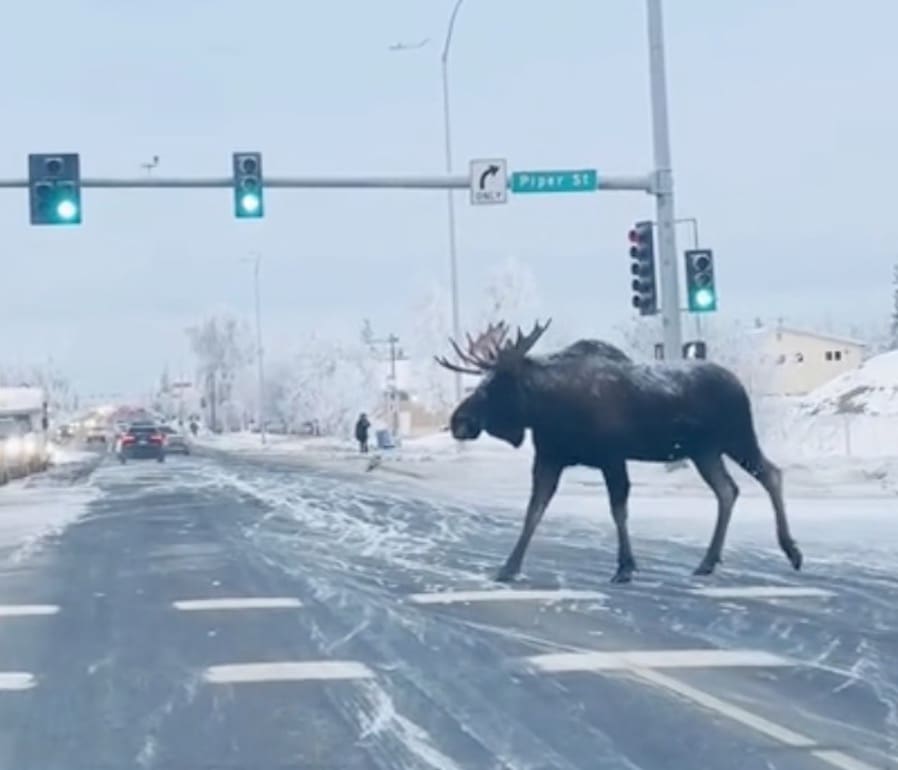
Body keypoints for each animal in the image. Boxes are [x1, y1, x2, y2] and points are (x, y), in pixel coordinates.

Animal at [435, 319, 802, 584]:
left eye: (493, 387)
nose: (457, 421)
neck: (547, 408)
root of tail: (739, 384)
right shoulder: (549, 459)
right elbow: (534, 511)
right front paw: (509, 567)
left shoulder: (612, 458)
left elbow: (618, 509)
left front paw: (625, 567)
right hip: (705, 452)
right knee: (728, 490)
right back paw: (707, 561)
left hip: (736, 437)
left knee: (770, 474)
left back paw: (791, 550)